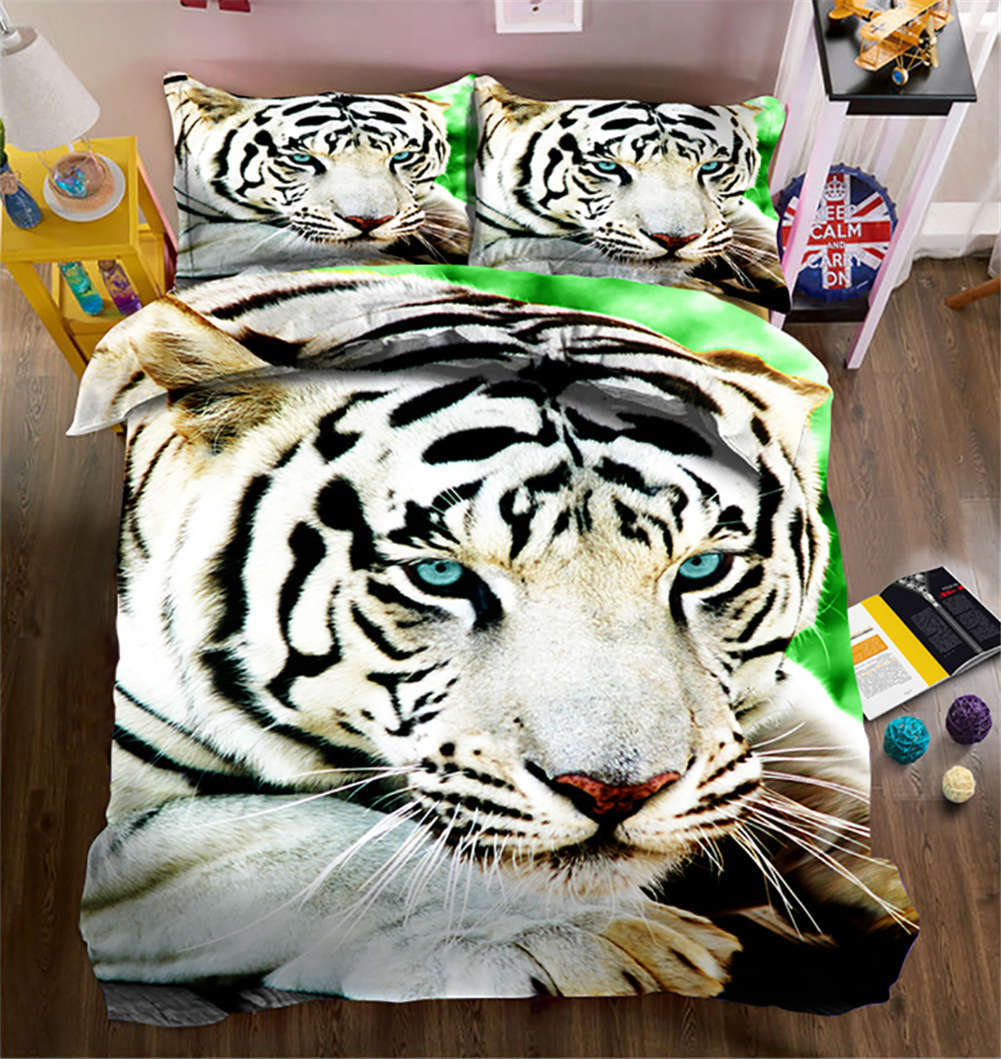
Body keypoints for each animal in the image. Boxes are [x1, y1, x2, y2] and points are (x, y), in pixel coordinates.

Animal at [71, 272, 915, 1017]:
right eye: (442, 574)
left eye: (701, 567)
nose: (615, 793)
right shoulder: (131, 842)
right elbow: (309, 846)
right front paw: (606, 939)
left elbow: (829, 771)